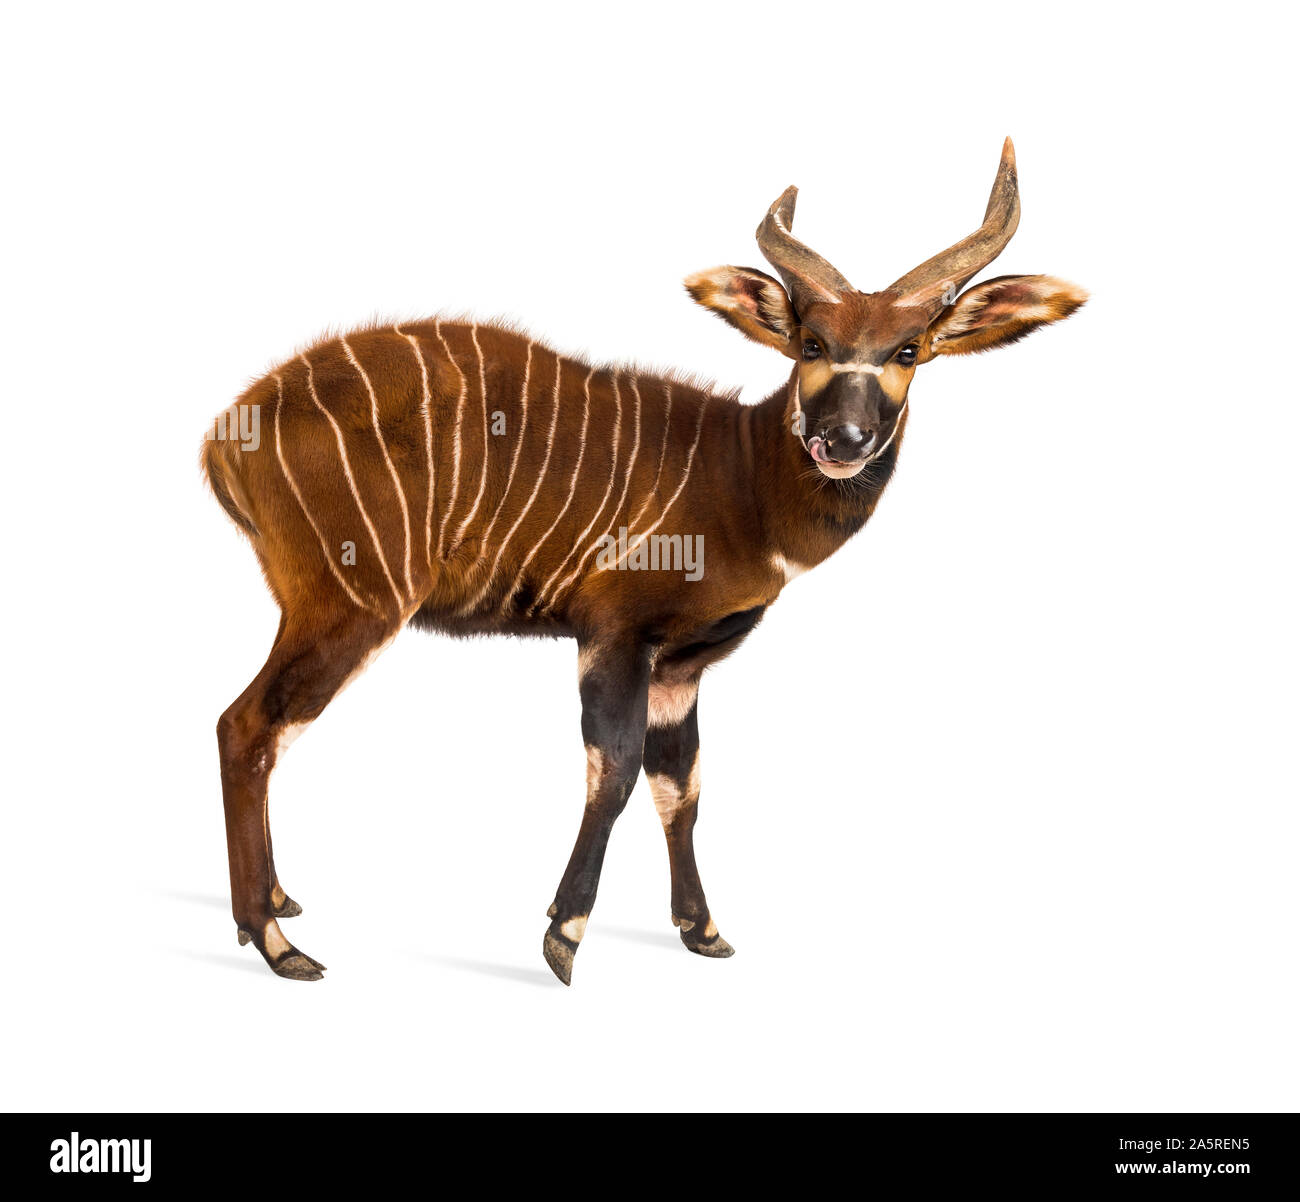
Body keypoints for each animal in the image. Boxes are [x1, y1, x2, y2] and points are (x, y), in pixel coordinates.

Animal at [204, 139, 1085, 985]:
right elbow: (616, 771)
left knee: (265, 730)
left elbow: (681, 786)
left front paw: (704, 932)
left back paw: (279, 903)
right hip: (355, 601)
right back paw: (276, 942)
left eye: (910, 349)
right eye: (811, 342)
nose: (844, 440)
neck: (742, 481)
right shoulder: (616, 633)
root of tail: (224, 433)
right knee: (246, 725)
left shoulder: (681, 666)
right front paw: (564, 936)